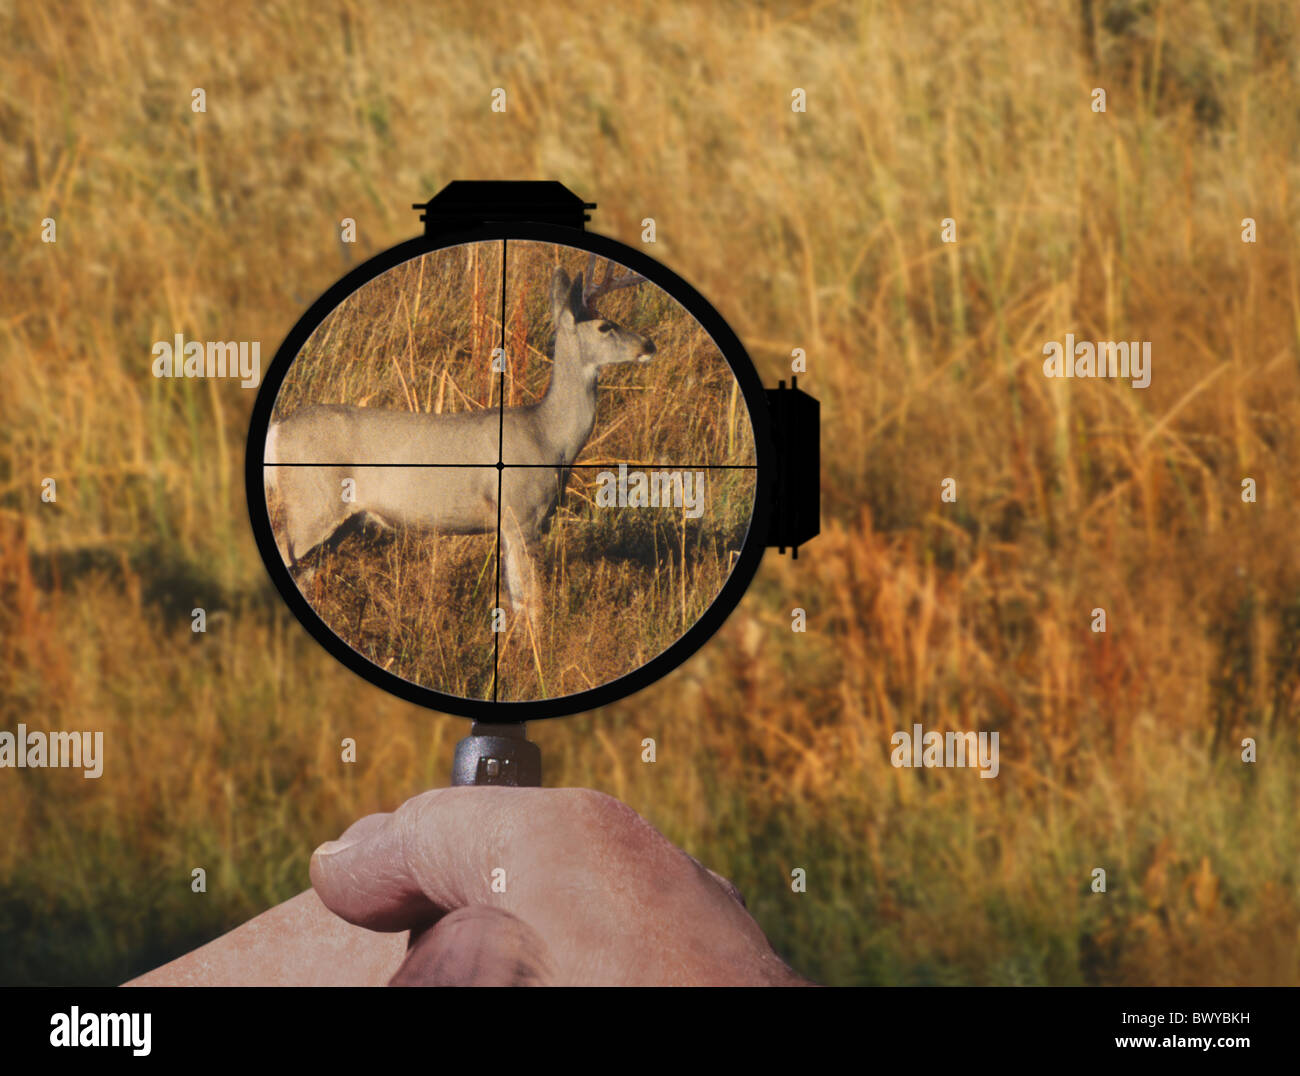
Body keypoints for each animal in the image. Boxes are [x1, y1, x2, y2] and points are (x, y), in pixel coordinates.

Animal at [263, 256, 654, 614]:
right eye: (605, 326)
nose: (648, 344)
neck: (549, 437)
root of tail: (278, 430)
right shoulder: (522, 512)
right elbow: (532, 602)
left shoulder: (512, 523)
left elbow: (514, 600)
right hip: (311, 502)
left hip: (338, 520)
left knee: (305, 572)